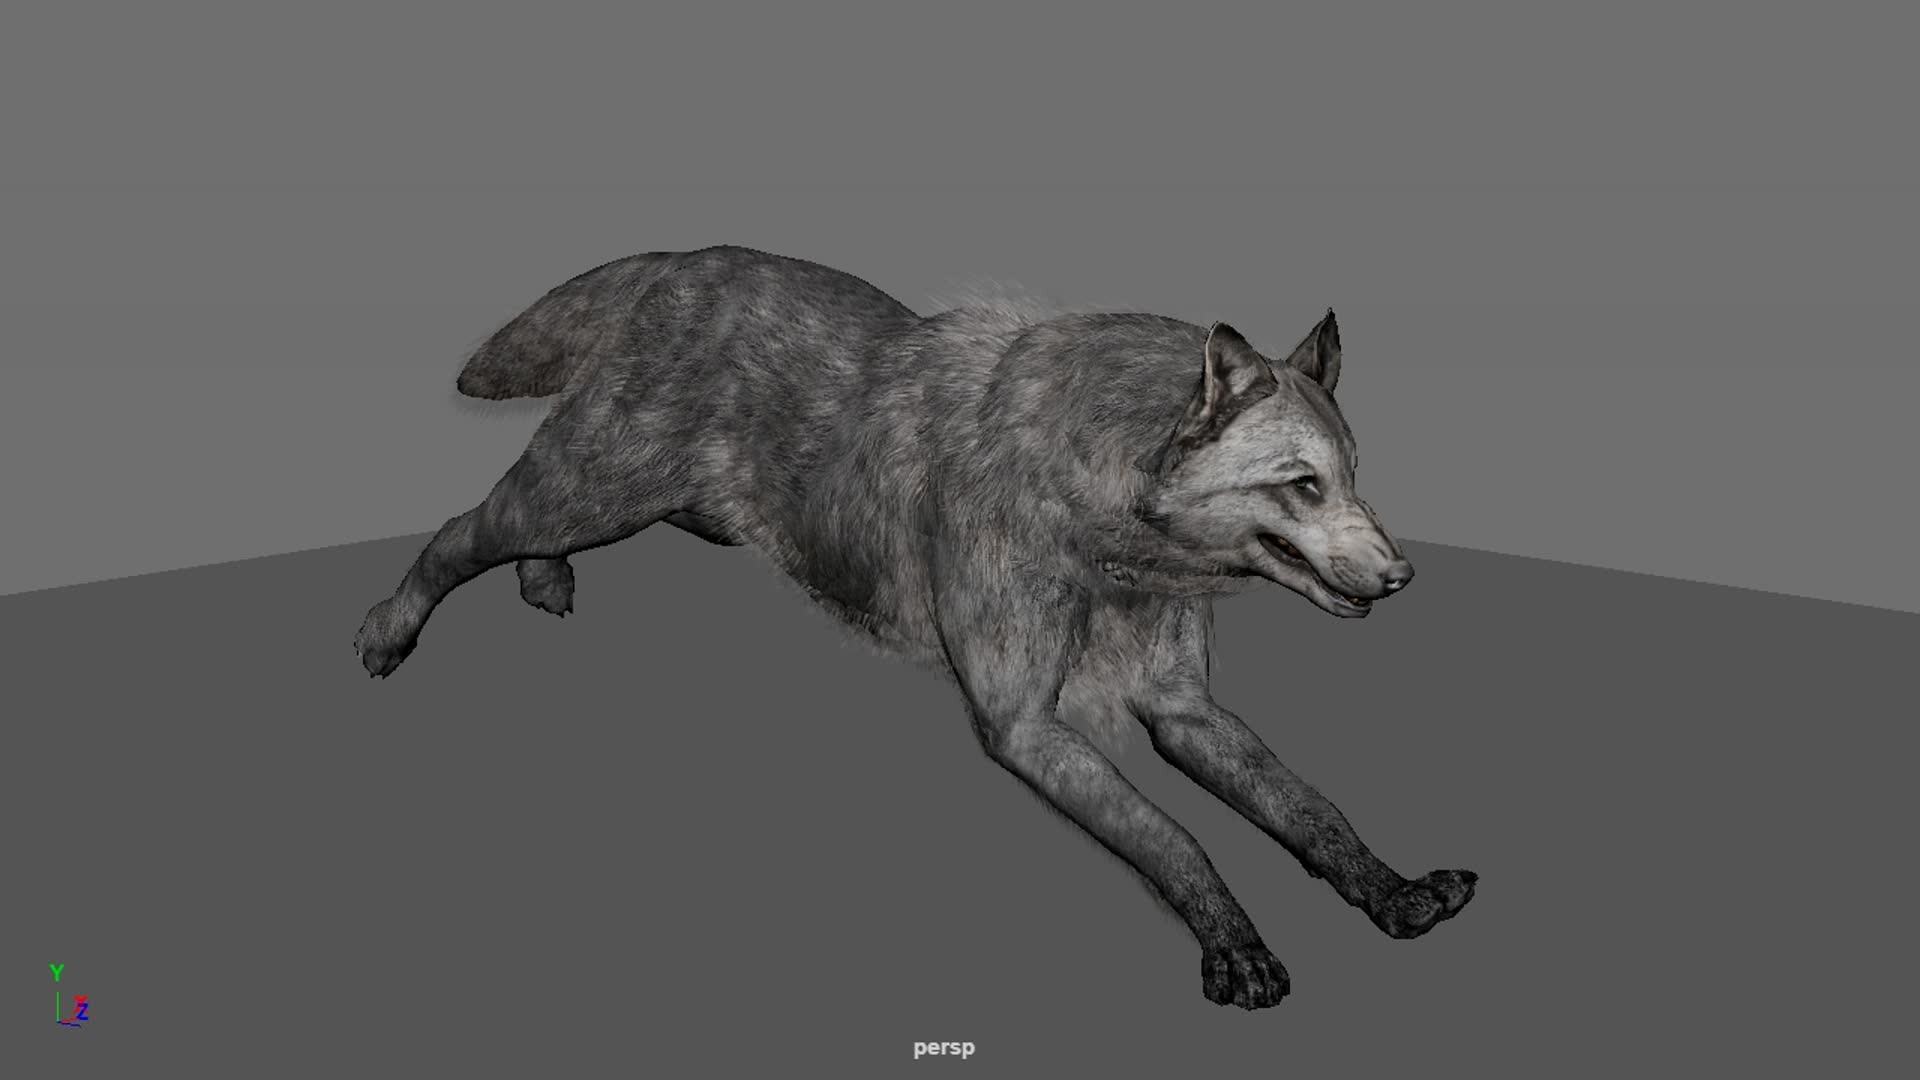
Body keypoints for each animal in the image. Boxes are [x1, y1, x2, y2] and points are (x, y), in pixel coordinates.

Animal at [353, 245, 1477, 1009]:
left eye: (1355, 477)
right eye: (1300, 484)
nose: (1404, 575)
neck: (1100, 523)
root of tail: (685, 262)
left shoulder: (1184, 709)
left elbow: (1306, 810)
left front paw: (1394, 894)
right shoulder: (1022, 725)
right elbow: (1176, 837)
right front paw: (1236, 948)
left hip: (623, 509)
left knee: (509, 539)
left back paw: (543, 584)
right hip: (579, 497)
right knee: (457, 534)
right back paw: (385, 633)